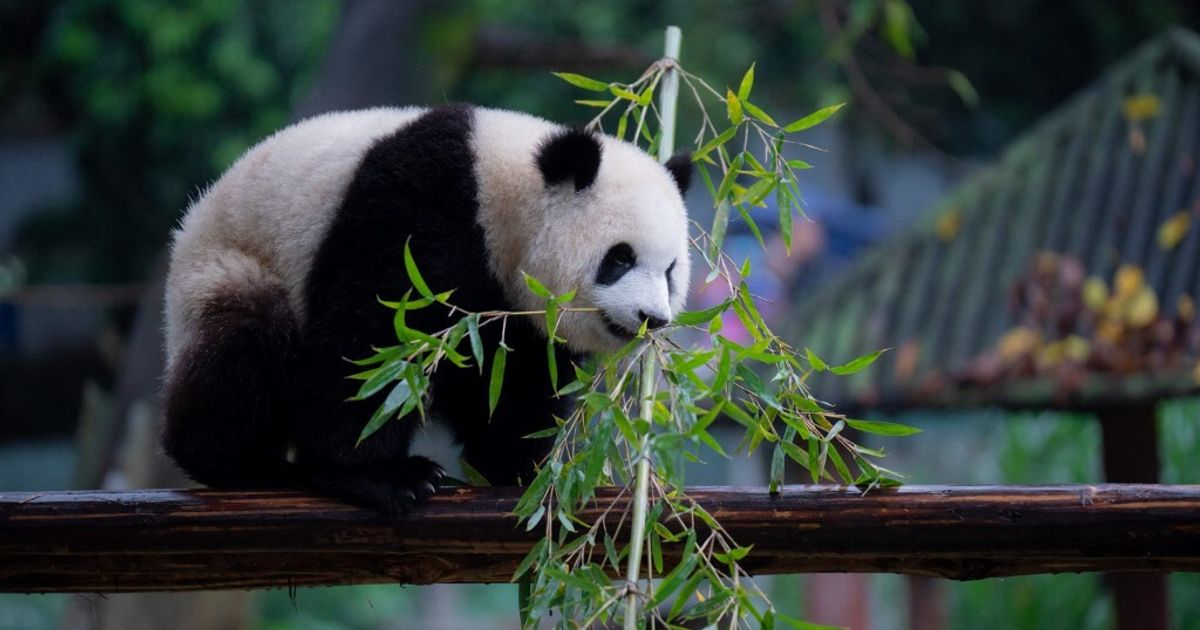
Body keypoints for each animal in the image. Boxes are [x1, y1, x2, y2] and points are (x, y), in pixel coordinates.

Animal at [162, 104, 692, 515]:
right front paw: (385, 476)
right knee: (245, 347)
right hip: (231, 268)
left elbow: (516, 379)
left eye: (670, 270)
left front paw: (521, 466)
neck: (504, 195)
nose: (652, 318)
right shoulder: (421, 207)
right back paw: (242, 461)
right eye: (620, 258)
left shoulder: (512, 313)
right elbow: (371, 339)